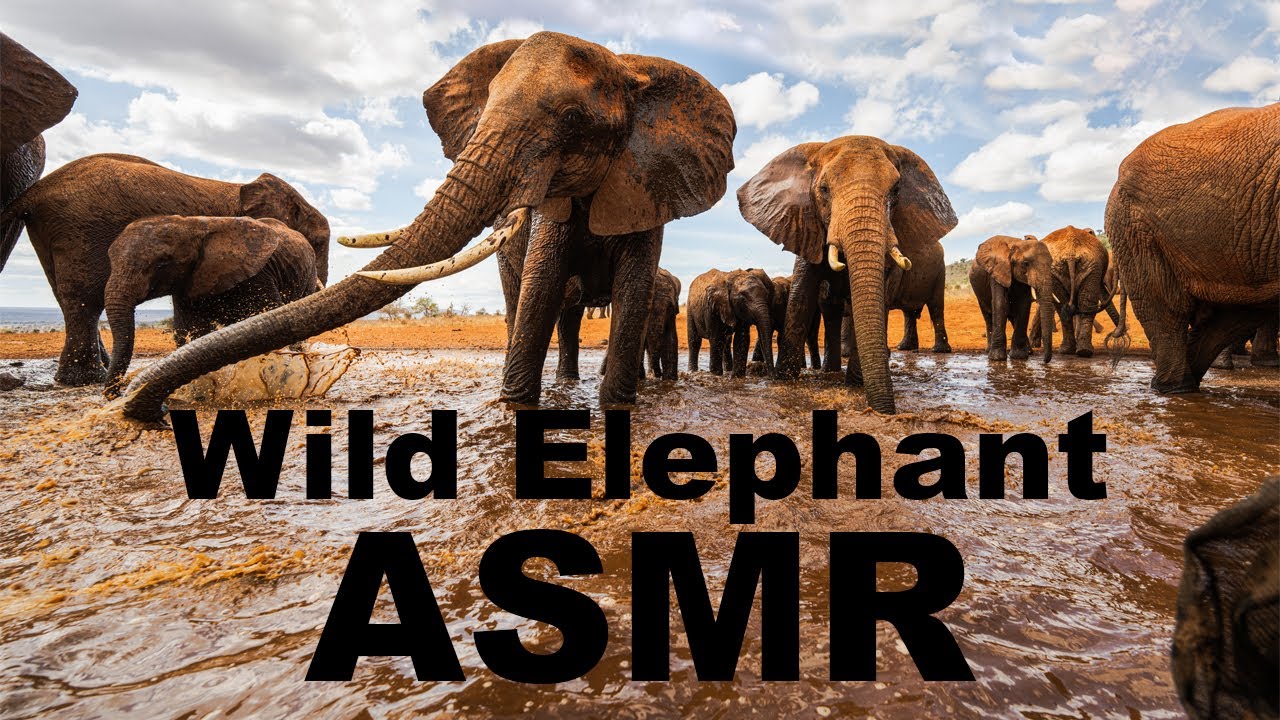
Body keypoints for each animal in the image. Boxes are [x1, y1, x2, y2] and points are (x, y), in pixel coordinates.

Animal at [103, 216, 320, 397]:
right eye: (111, 259)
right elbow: (191, 332)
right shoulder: (187, 286)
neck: (195, 226)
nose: (118, 393)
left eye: (162, 264)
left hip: (308, 276)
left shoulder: (256, 278)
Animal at [738, 136, 957, 414]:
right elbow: (802, 297)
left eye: (897, 190)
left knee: (935, 306)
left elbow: (877, 298)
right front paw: (785, 381)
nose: (886, 411)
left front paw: (853, 386)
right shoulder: (807, 227)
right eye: (823, 190)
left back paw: (938, 352)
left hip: (940, 270)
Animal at [969, 234, 1056, 363]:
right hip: (979, 291)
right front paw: (997, 358)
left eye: (1051, 263)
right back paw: (988, 350)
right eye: (1025, 263)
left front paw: (1019, 357)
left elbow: (1023, 305)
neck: (1016, 243)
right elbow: (1000, 303)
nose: (1045, 361)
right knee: (988, 315)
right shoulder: (996, 270)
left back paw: (1028, 352)